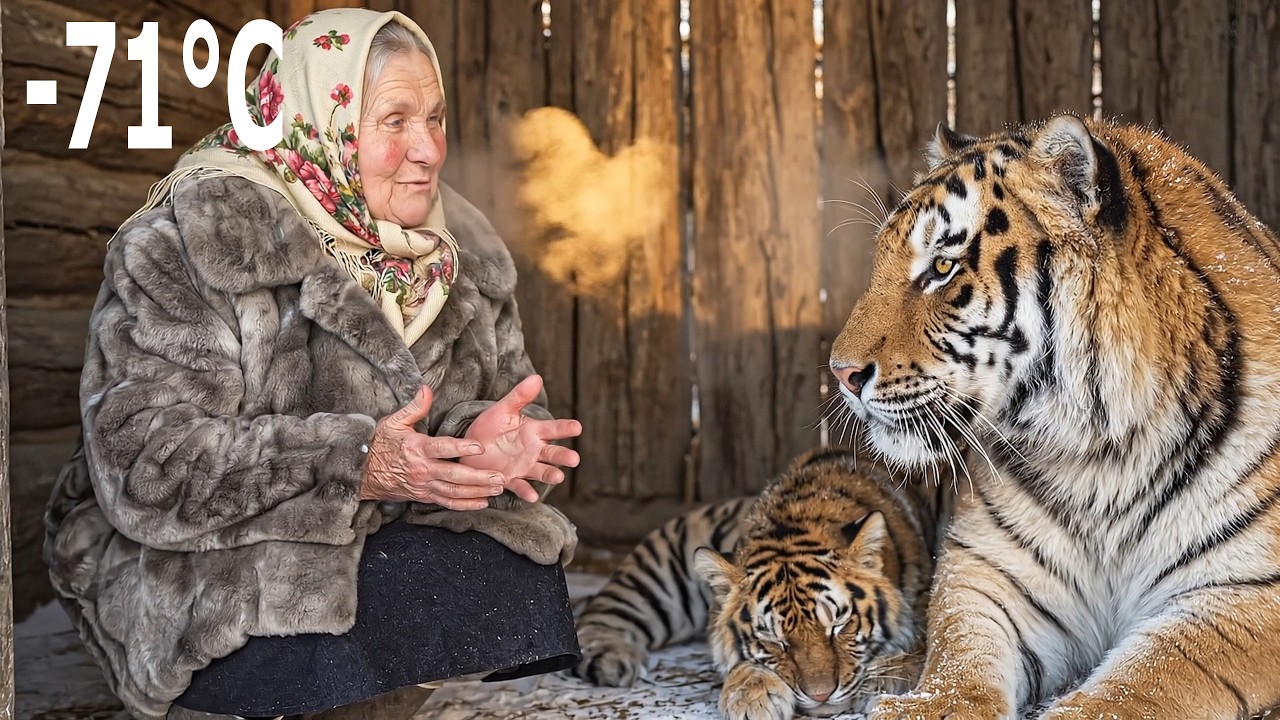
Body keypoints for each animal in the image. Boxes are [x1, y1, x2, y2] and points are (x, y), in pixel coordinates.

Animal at [572, 446, 953, 719]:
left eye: (839, 625)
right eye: (774, 638)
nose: (820, 695)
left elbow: (925, 643)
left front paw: (887, 675)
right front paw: (751, 696)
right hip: (660, 577)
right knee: (599, 614)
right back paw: (613, 661)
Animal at [827, 113, 1280, 720]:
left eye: (942, 267)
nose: (841, 372)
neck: (1100, 457)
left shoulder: (1247, 590)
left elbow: (1138, 686)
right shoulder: (991, 571)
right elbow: (958, 661)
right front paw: (930, 705)